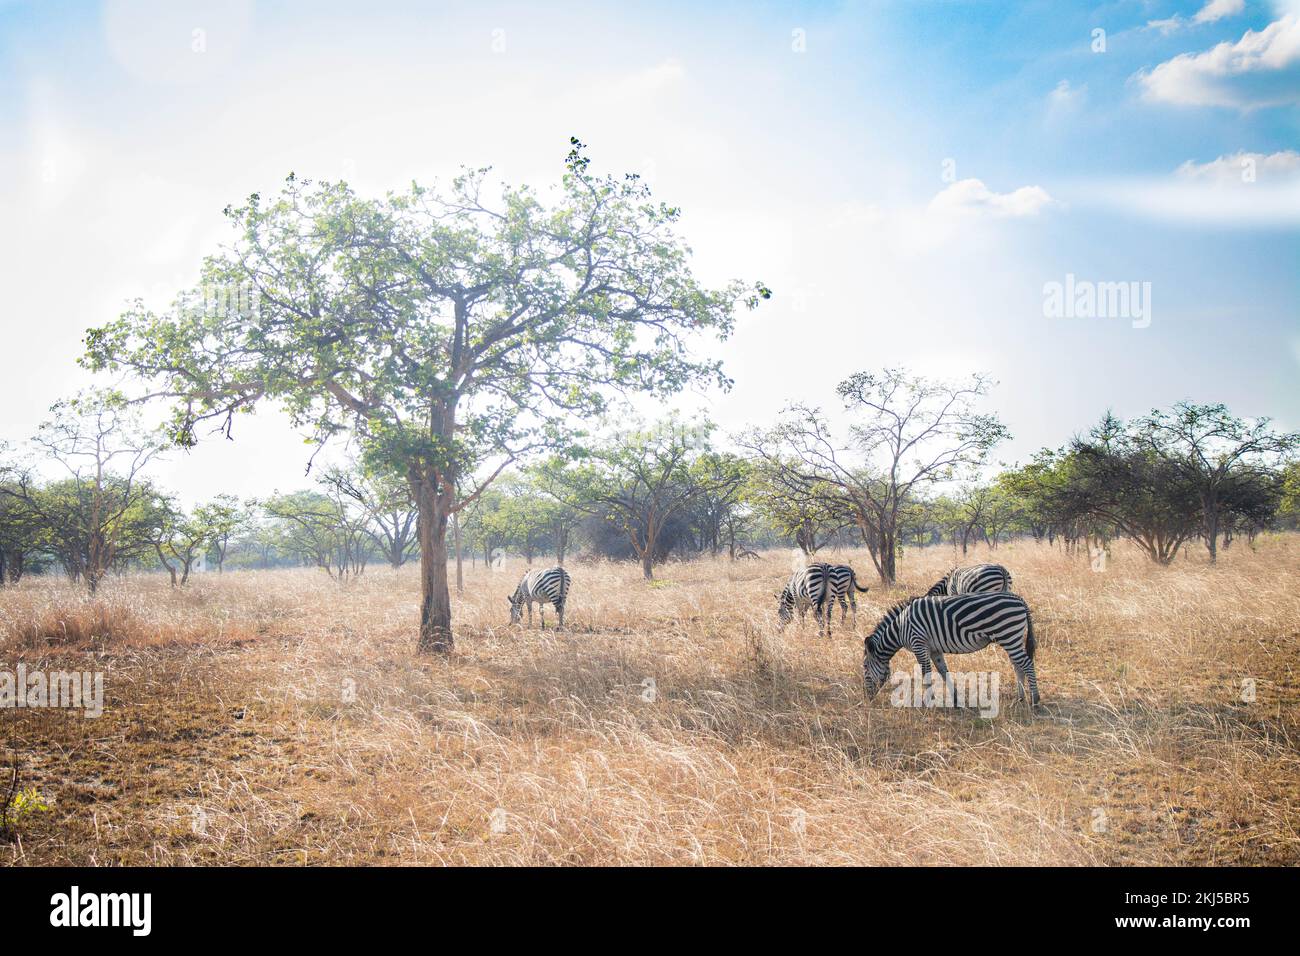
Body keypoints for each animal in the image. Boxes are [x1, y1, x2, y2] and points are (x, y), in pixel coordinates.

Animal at [862, 592, 1040, 707]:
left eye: (864, 666)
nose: (867, 698)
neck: (900, 628)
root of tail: (1019, 599)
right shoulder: (934, 649)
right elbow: (943, 672)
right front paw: (956, 700)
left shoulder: (919, 643)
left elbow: (926, 674)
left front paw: (929, 702)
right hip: (1012, 639)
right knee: (1018, 666)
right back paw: (1020, 698)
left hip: (1009, 635)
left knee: (1027, 664)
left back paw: (1035, 699)